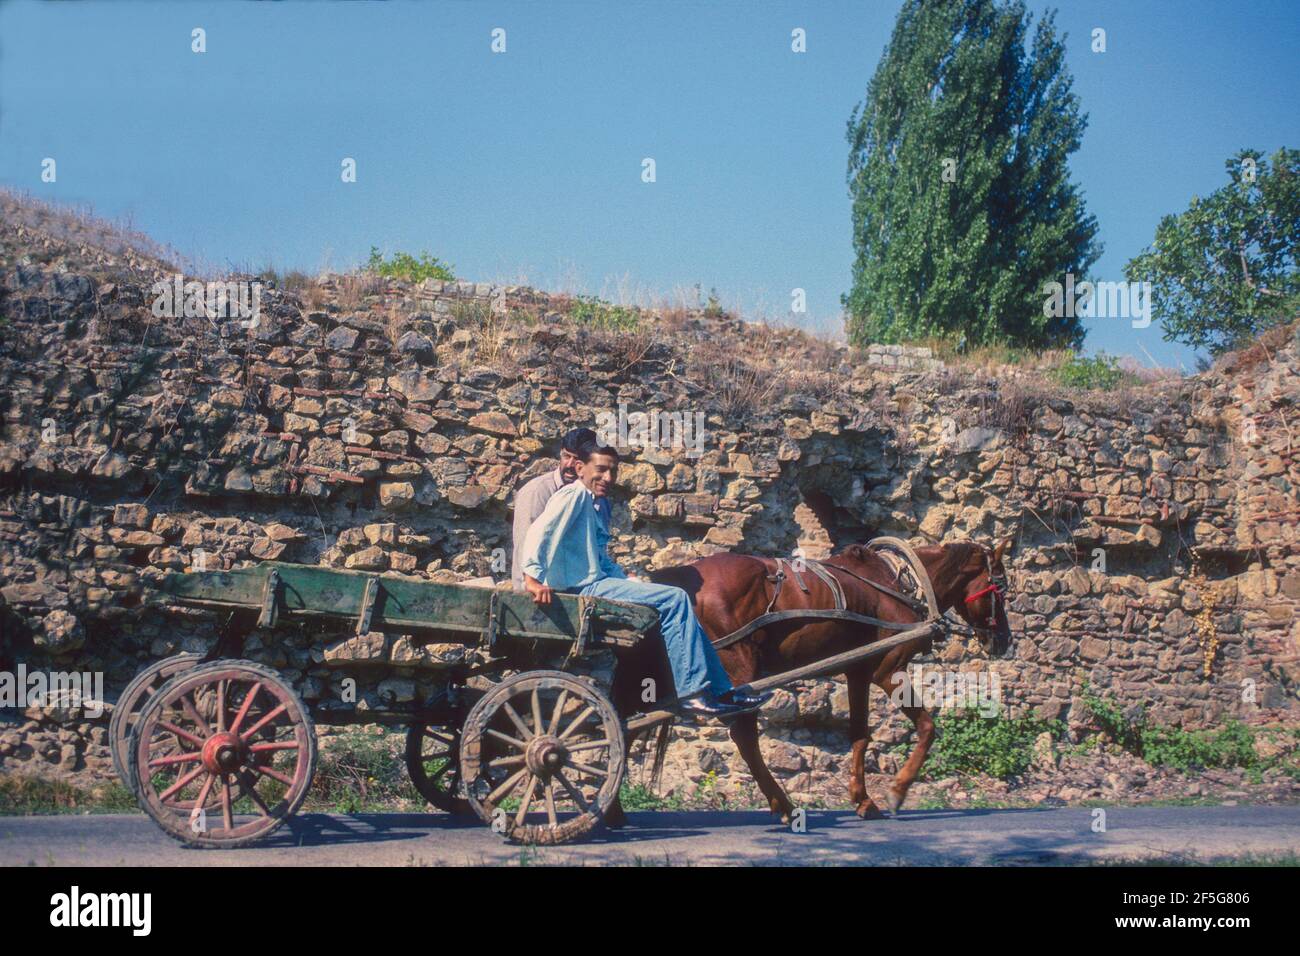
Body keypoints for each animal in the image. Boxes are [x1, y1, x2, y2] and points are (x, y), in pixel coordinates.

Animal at [608, 538, 1014, 825]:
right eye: (1001, 587)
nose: (1004, 641)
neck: (899, 585)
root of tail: (686, 577)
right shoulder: (889, 669)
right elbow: (928, 727)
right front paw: (897, 792)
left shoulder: (858, 670)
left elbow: (859, 735)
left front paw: (863, 800)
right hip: (741, 666)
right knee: (744, 737)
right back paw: (784, 806)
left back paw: (614, 812)